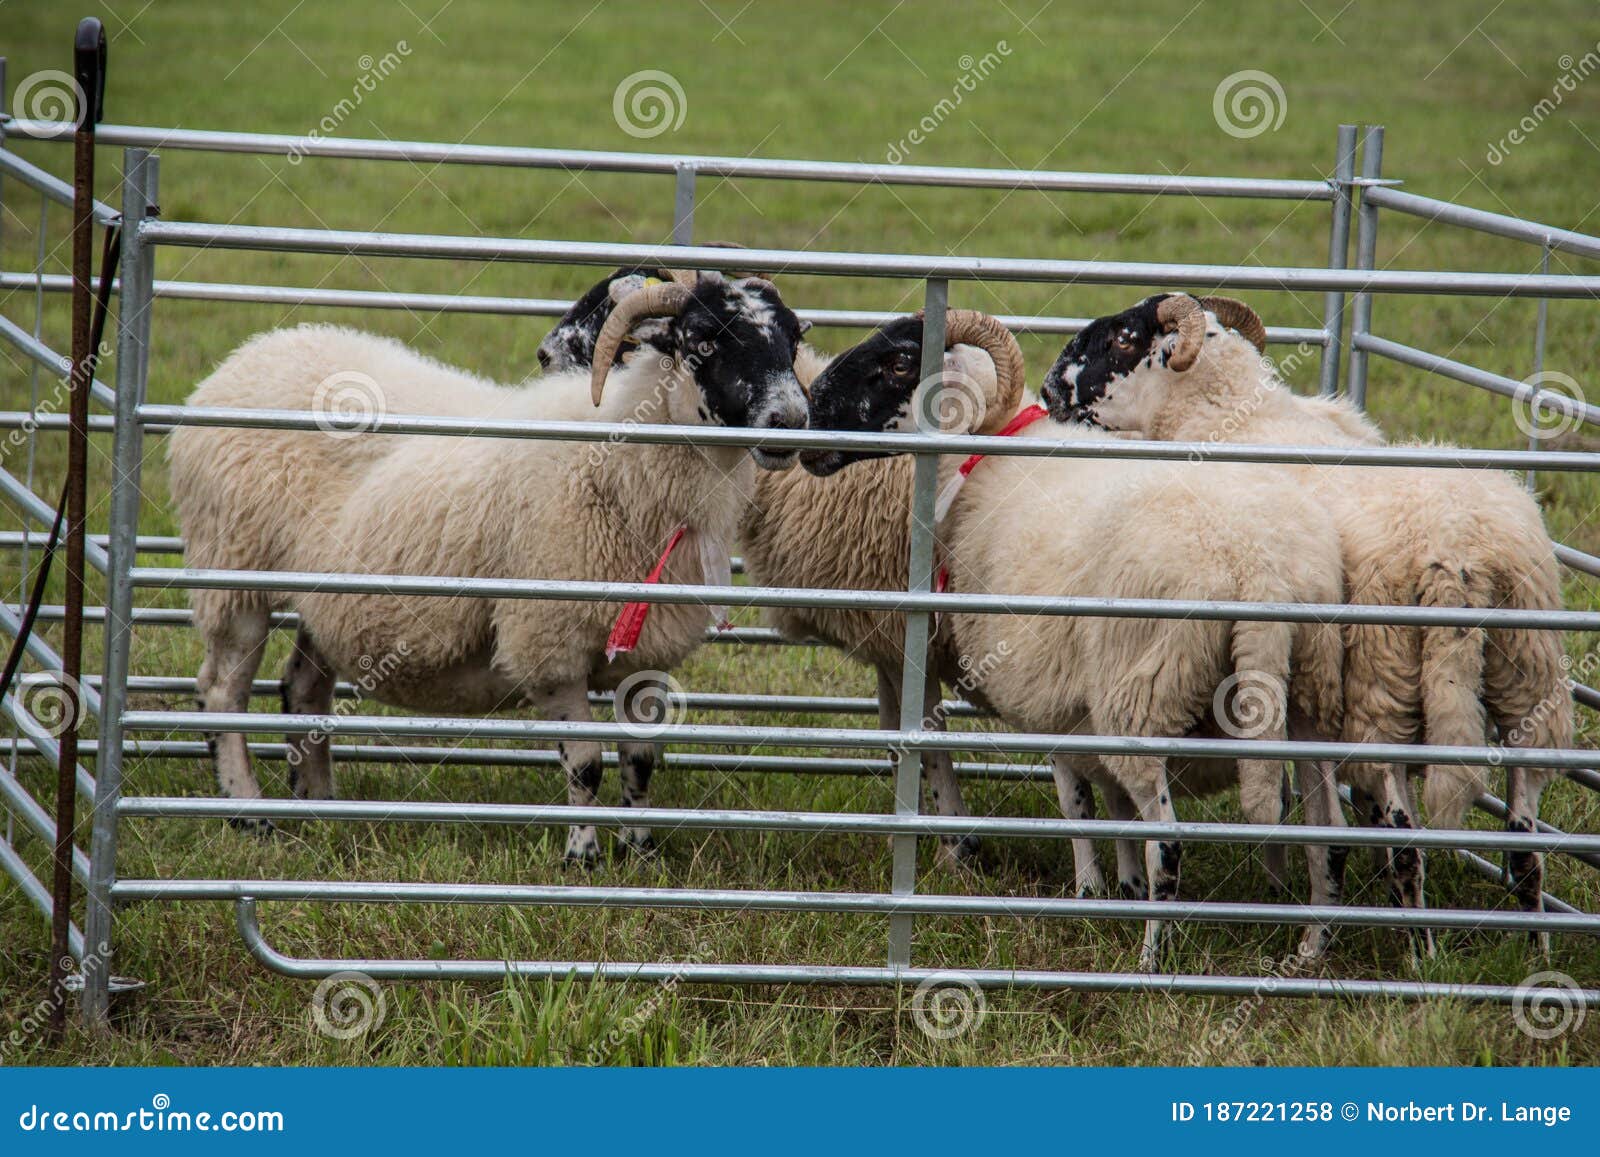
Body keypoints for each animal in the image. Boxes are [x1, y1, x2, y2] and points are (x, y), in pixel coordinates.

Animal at [168, 270, 810, 865]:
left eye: (793, 337)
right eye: (703, 339)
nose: (791, 419)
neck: (620, 465)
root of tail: (246, 357)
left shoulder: (648, 647)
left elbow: (641, 758)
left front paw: (641, 848)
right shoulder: (547, 643)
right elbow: (585, 764)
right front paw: (582, 856)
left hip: (326, 593)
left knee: (303, 686)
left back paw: (319, 804)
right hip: (233, 569)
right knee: (222, 692)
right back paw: (249, 812)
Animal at [802, 312, 1349, 967]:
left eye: (902, 362)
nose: (810, 409)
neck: (985, 455)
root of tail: (1257, 567)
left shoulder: (1043, 684)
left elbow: (1075, 798)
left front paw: (1090, 891)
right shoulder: (1078, 693)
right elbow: (1111, 803)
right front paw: (1118, 889)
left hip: (1141, 696)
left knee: (1169, 844)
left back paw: (1151, 962)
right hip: (1311, 695)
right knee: (1329, 839)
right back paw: (1311, 952)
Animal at [1048, 292, 1571, 933]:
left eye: (1123, 338)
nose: (1048, 388)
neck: (1230, 415)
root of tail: (1458, 551)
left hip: (1382, 677)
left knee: (1408, 841)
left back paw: (1417, 941)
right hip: (1528, 671)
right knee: (1524, 842)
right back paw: (1533, 938)